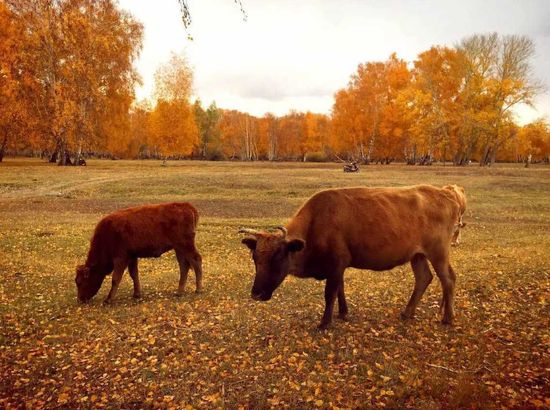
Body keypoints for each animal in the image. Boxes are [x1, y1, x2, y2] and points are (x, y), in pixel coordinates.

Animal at [239, 185, 467, 329]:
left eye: (278, 257)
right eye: (255, 258)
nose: (256, 294)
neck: (316, 224)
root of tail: (446, 194)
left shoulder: (335, 265)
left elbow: (330, 293)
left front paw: (324, 324)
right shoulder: (338, 267)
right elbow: (340, 289)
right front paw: (343, 313)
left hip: (438, 252)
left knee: (448, 279)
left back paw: (448, 318)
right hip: (418, 255)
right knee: (423, 278)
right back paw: (407, 313)